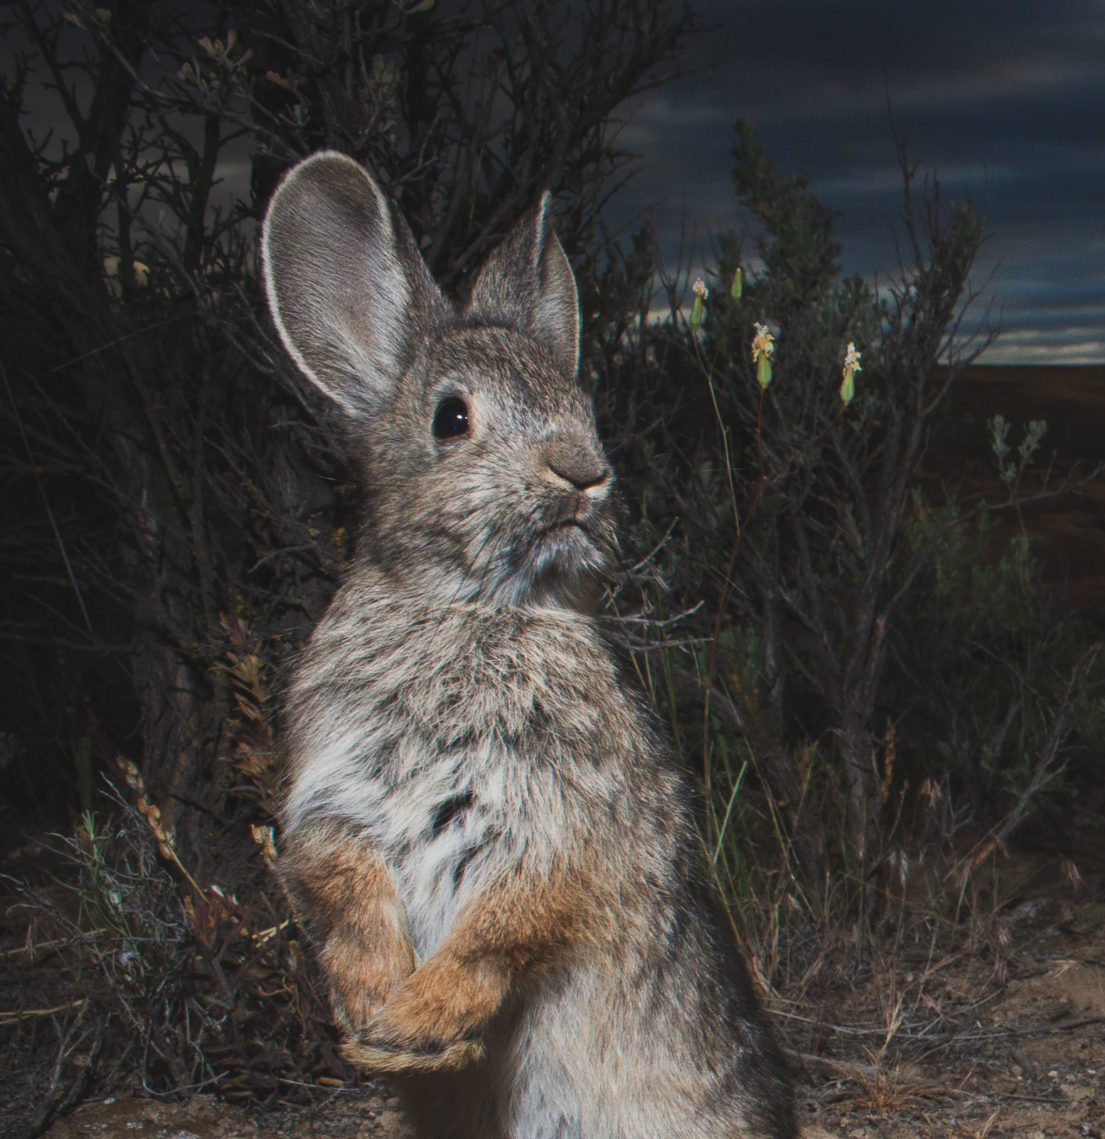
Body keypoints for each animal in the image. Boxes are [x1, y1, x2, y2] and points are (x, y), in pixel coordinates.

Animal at [261, 150, 796, 1139]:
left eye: (582, 406)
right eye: (451, 418)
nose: (585, 473)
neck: (477, 608)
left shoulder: (558, 828)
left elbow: (506, 925)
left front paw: (420, 1023)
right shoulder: (331, 800)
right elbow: (342, 889)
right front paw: (375, 1019)